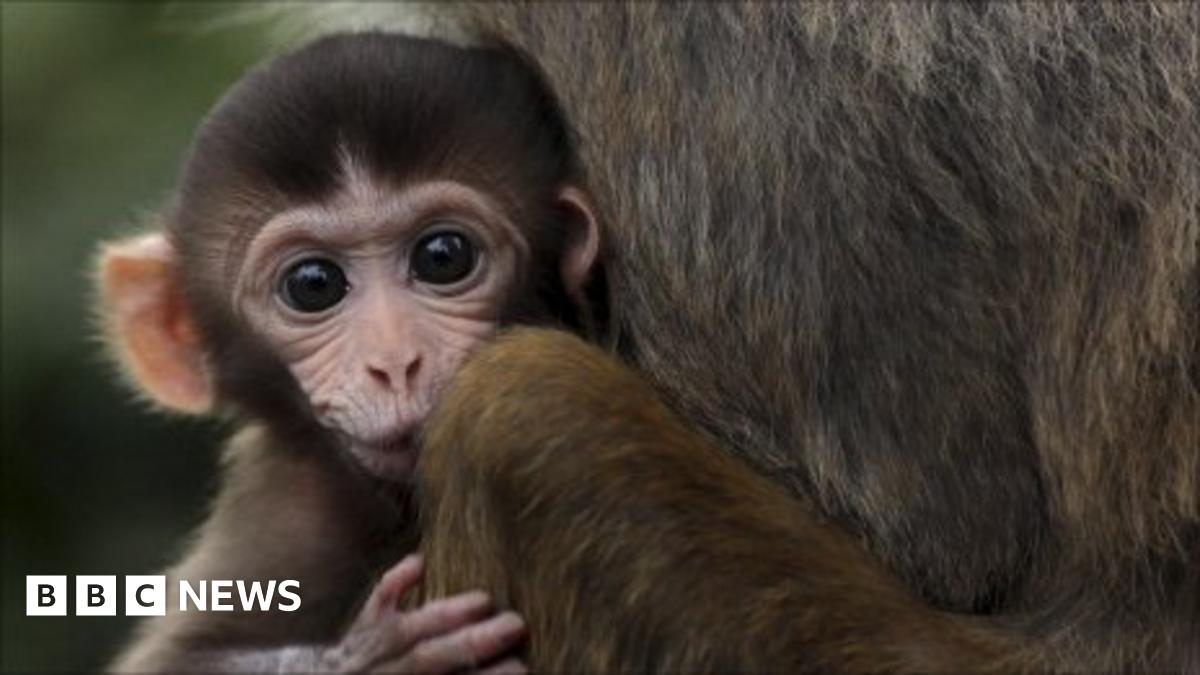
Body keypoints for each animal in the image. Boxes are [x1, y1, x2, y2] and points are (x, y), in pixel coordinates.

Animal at [98, 31, 602, 672]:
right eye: (314, 284)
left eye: (443, 256)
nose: (394, 365)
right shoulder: (287, 503)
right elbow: (175, 659)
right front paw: (372, 659)